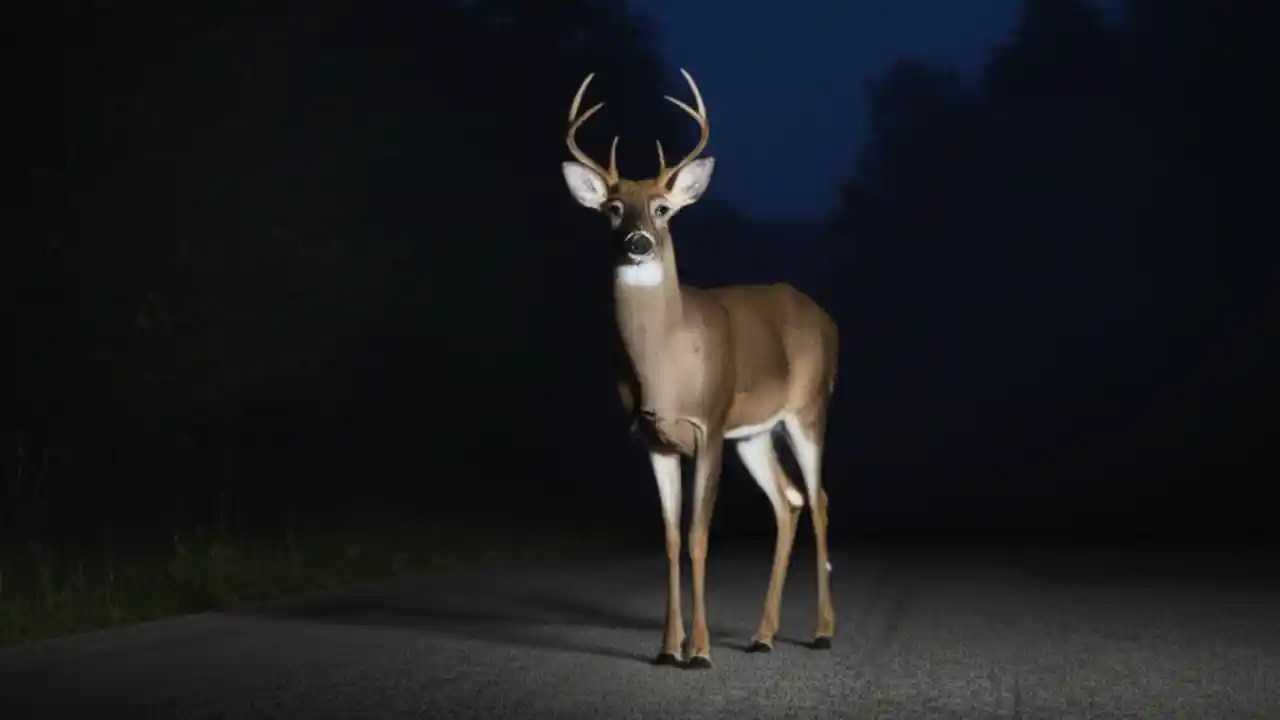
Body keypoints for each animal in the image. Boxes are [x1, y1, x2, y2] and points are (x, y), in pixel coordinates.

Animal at [560, 69, 840, 669]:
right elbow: (669, 536)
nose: (639, 242)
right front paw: (669, 648)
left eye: (663, 207)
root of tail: (826, 317)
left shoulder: (709, 425)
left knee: (819, 499)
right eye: (613, 208)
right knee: (789, 503)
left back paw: (823, 631)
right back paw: (763, 635)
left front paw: (702, 649)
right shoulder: (654, 438)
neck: (665, 364)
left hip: (808, 409)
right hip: (754, 434)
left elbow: (698, 535)